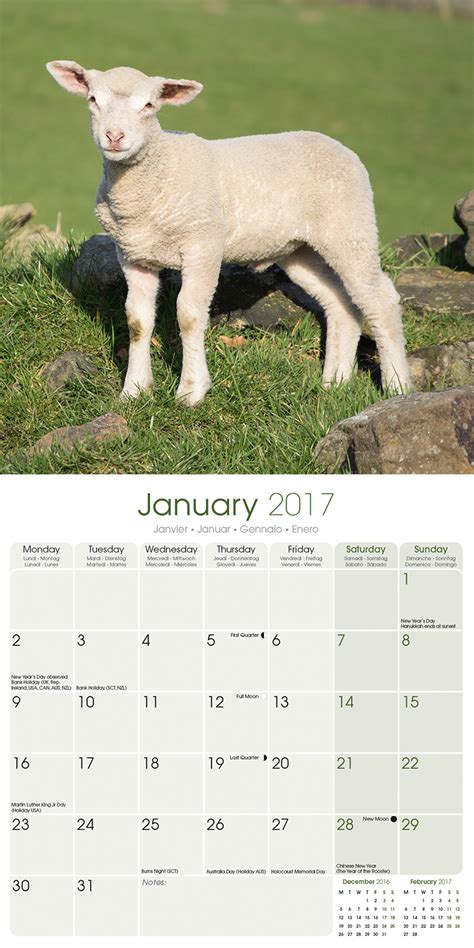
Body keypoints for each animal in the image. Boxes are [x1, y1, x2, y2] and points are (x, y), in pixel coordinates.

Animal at [46, 60, 412, 404]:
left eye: (149, 105)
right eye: (93, 99)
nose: (114, 137)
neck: (158, 169)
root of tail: (339, 146)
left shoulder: (204, 244)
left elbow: (189, 315)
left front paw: (191, 391)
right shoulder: (133, 254)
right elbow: (137, 321)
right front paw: (134, 391)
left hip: (349, 227)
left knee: (379, 299)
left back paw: (397, 385)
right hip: (300, 249)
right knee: (340, 304)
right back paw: (334, 383)